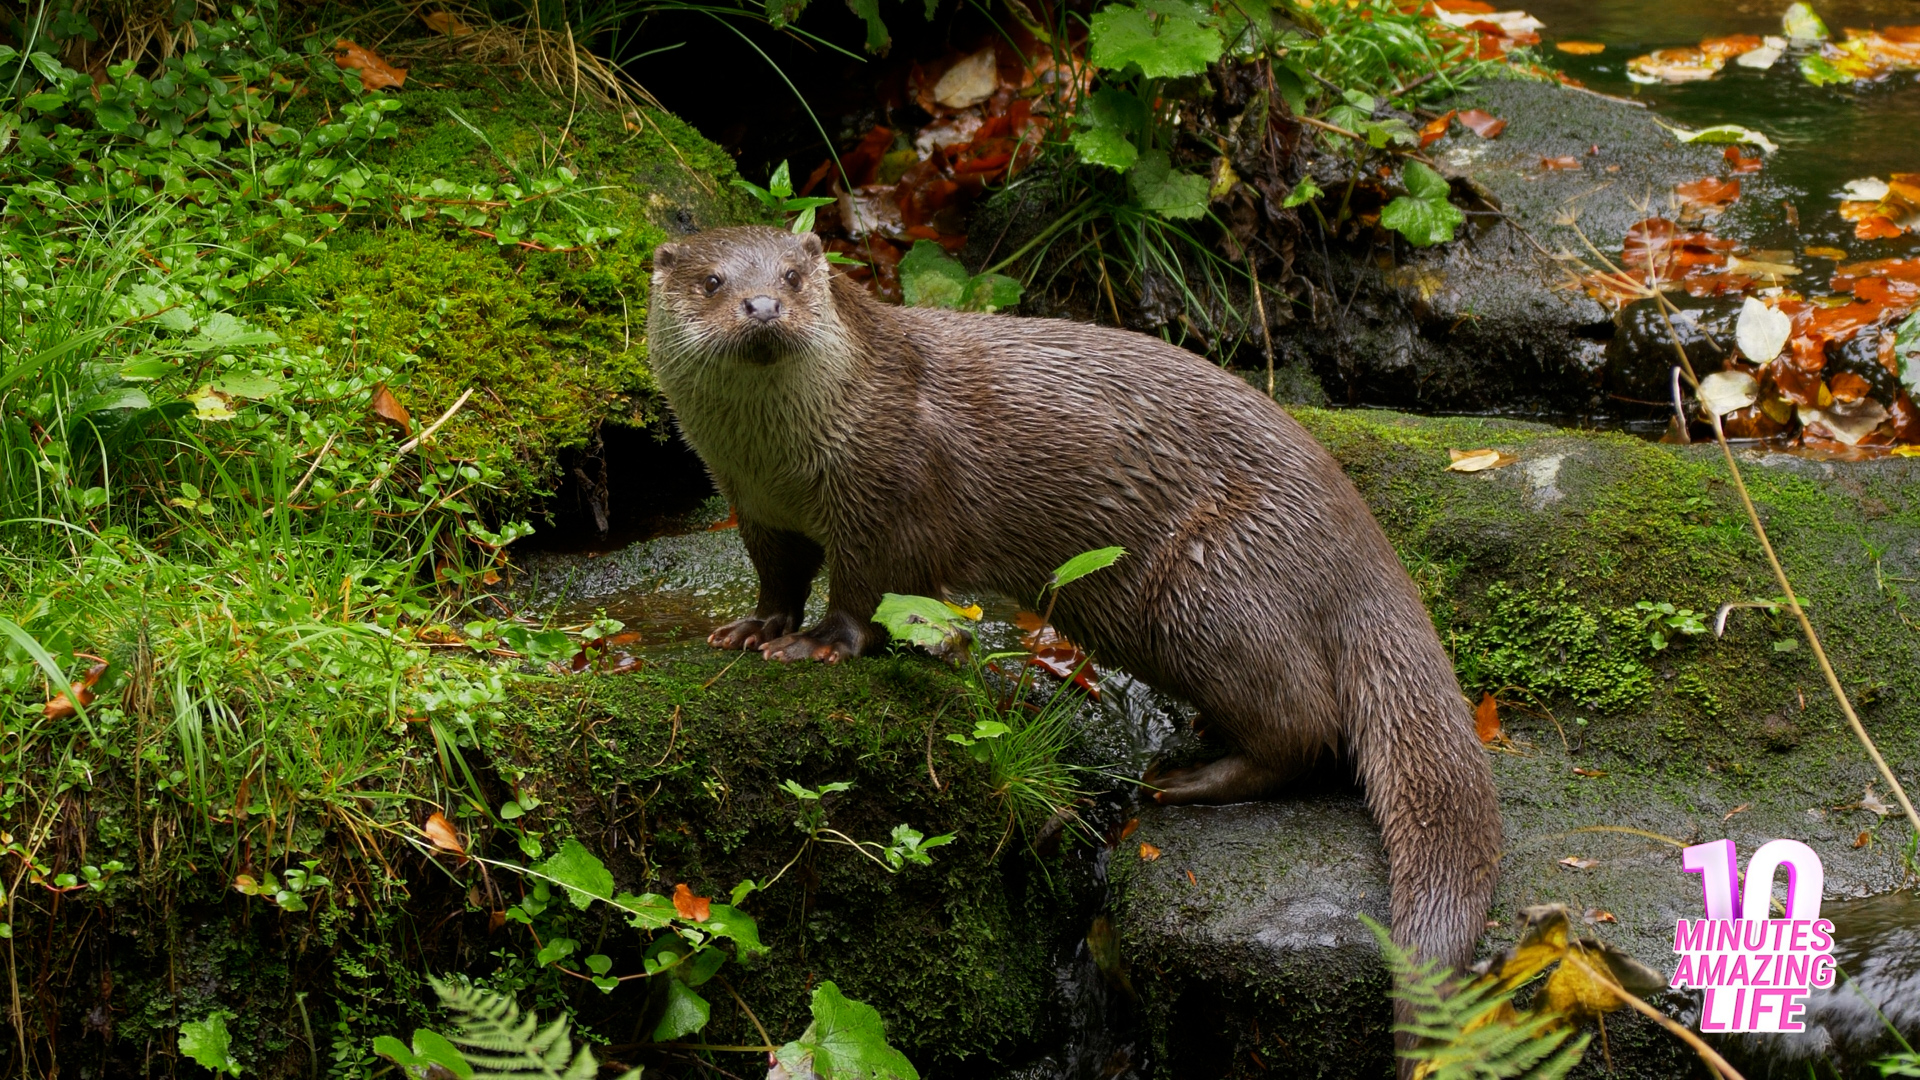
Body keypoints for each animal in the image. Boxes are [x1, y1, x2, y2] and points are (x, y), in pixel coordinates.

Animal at [647, 225, 1501, 995]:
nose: (762, 306)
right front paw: (756, 628)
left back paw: (1185, 780)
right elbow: (777, 576)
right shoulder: (756, 505)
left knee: (1304, 724)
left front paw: (821, 642)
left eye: (793, 276)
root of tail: (1359, 536)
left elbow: (872, 592)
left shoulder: (890, 494)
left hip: (1209, 583)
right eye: (712, 281)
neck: (784, 459)